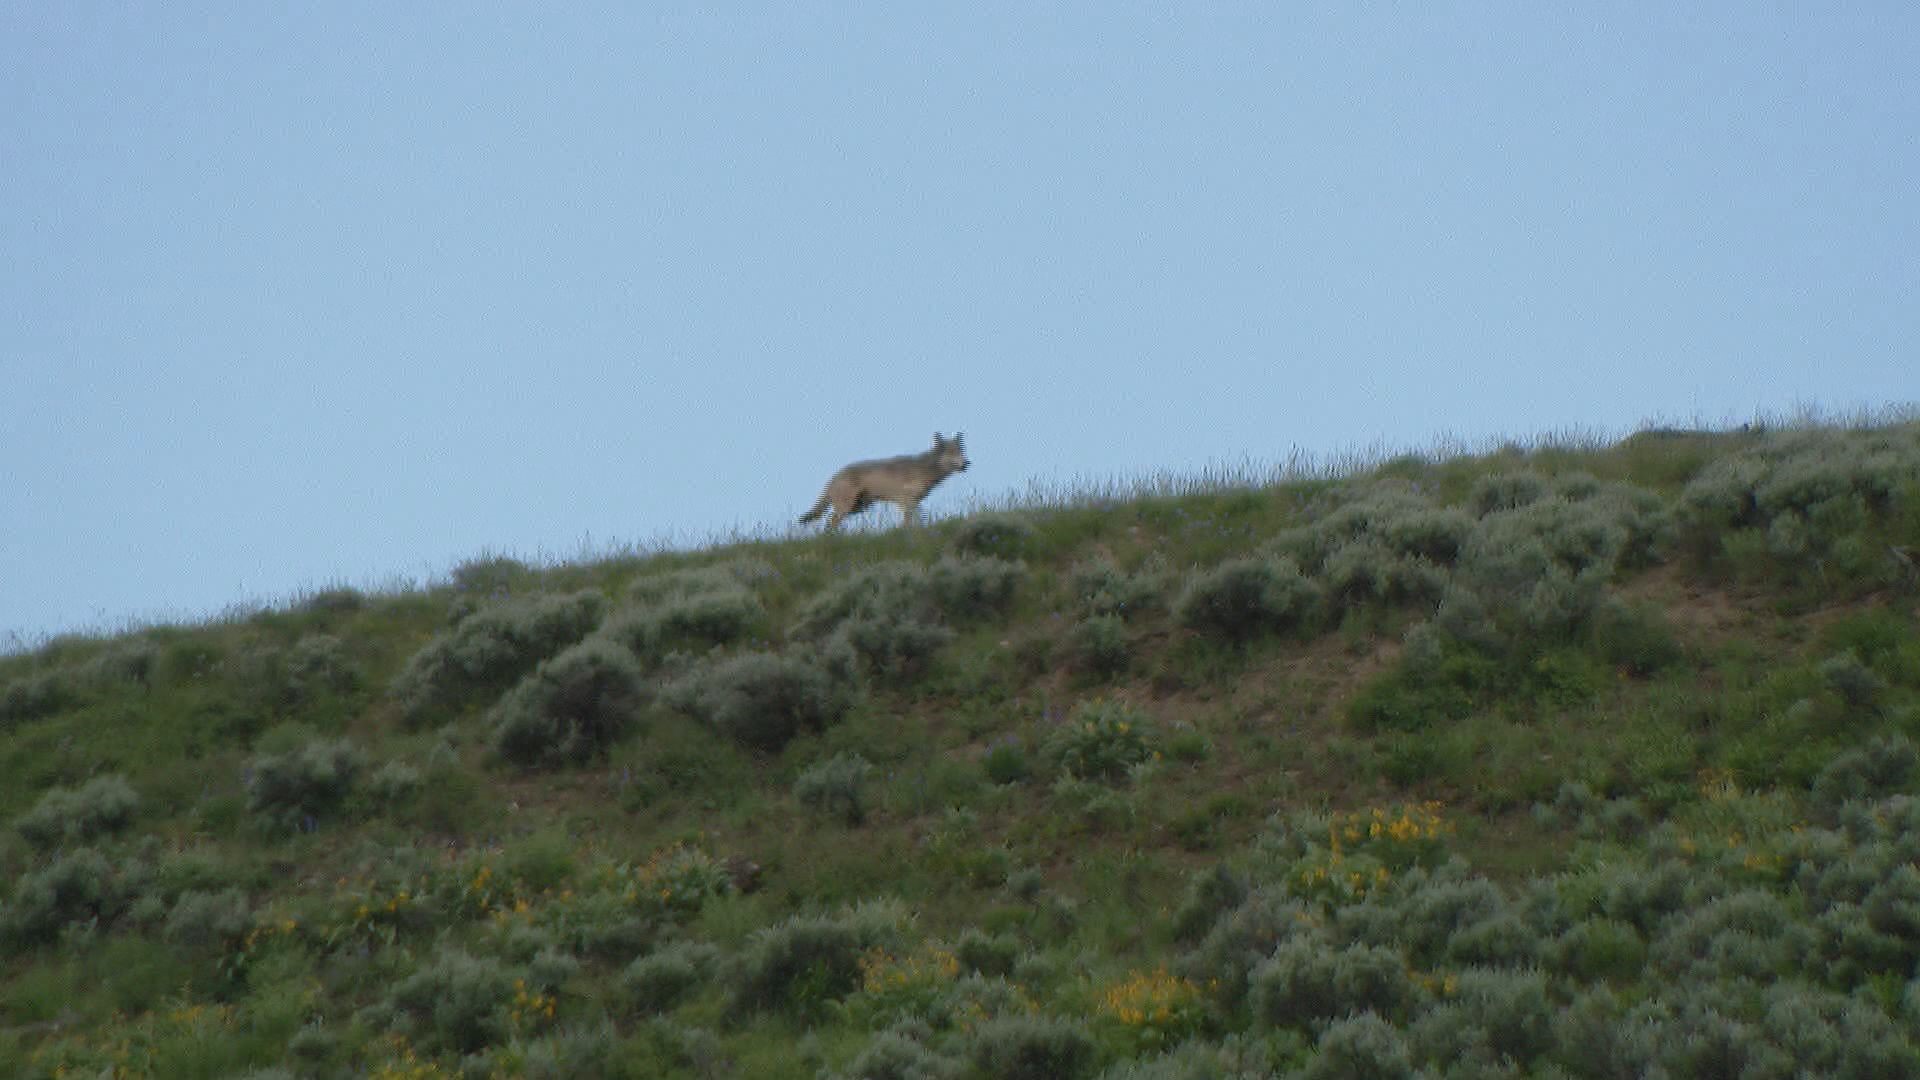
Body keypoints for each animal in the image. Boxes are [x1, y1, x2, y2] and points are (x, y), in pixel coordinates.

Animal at [798, 433, 971, 531]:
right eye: (951, 453)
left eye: (962, 452)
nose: (967, 463)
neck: (924, 468)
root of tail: (834, 476)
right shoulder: (907, 501)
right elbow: (912, 522)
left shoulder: (911, 503)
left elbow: (911, 522)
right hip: (847, 507)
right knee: (830, 521)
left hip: (858, 508)